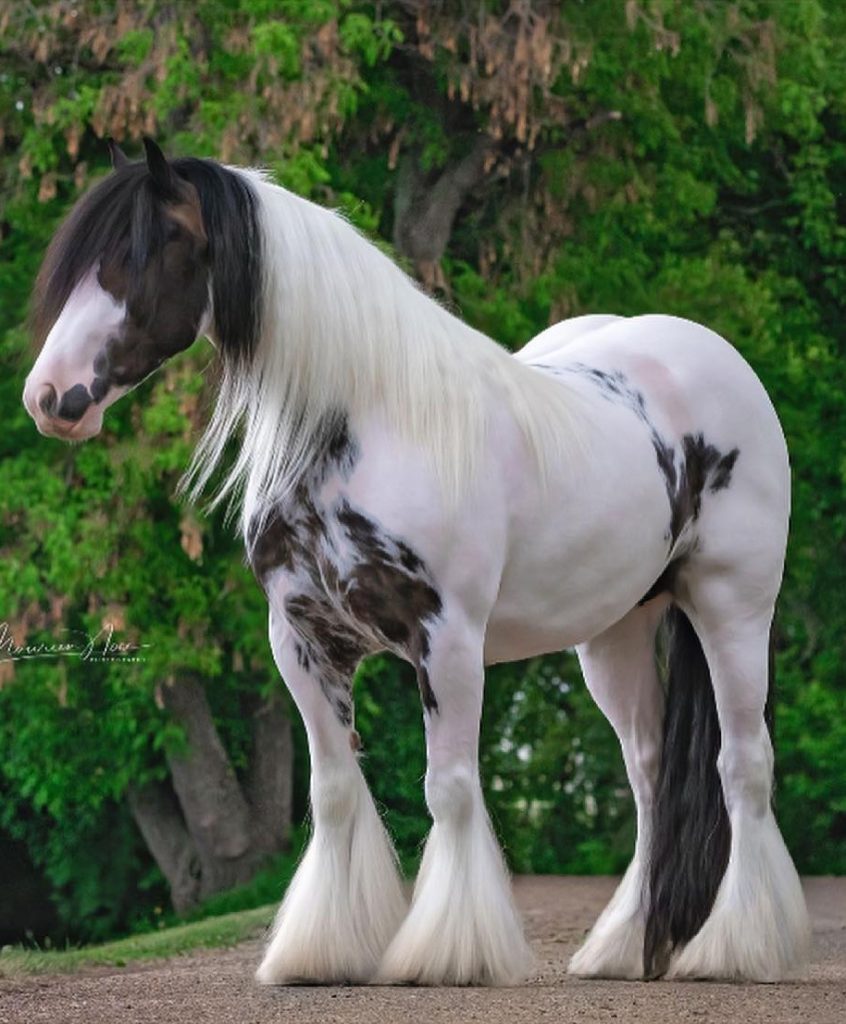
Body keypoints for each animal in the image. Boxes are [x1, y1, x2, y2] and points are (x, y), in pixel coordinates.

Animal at [23, 138, 810, 986]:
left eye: (155, 246)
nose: (50, 397)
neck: (363, 427)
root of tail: (715, 358)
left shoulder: (448, 640)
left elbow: (452, 789)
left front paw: (449, 951)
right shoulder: (302, 643)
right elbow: (334, 792)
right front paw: (322, 952)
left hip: (732, 610)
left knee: (743, 766)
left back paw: (739, 947)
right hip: (615, 633)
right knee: (650, 773)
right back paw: (628, 949)